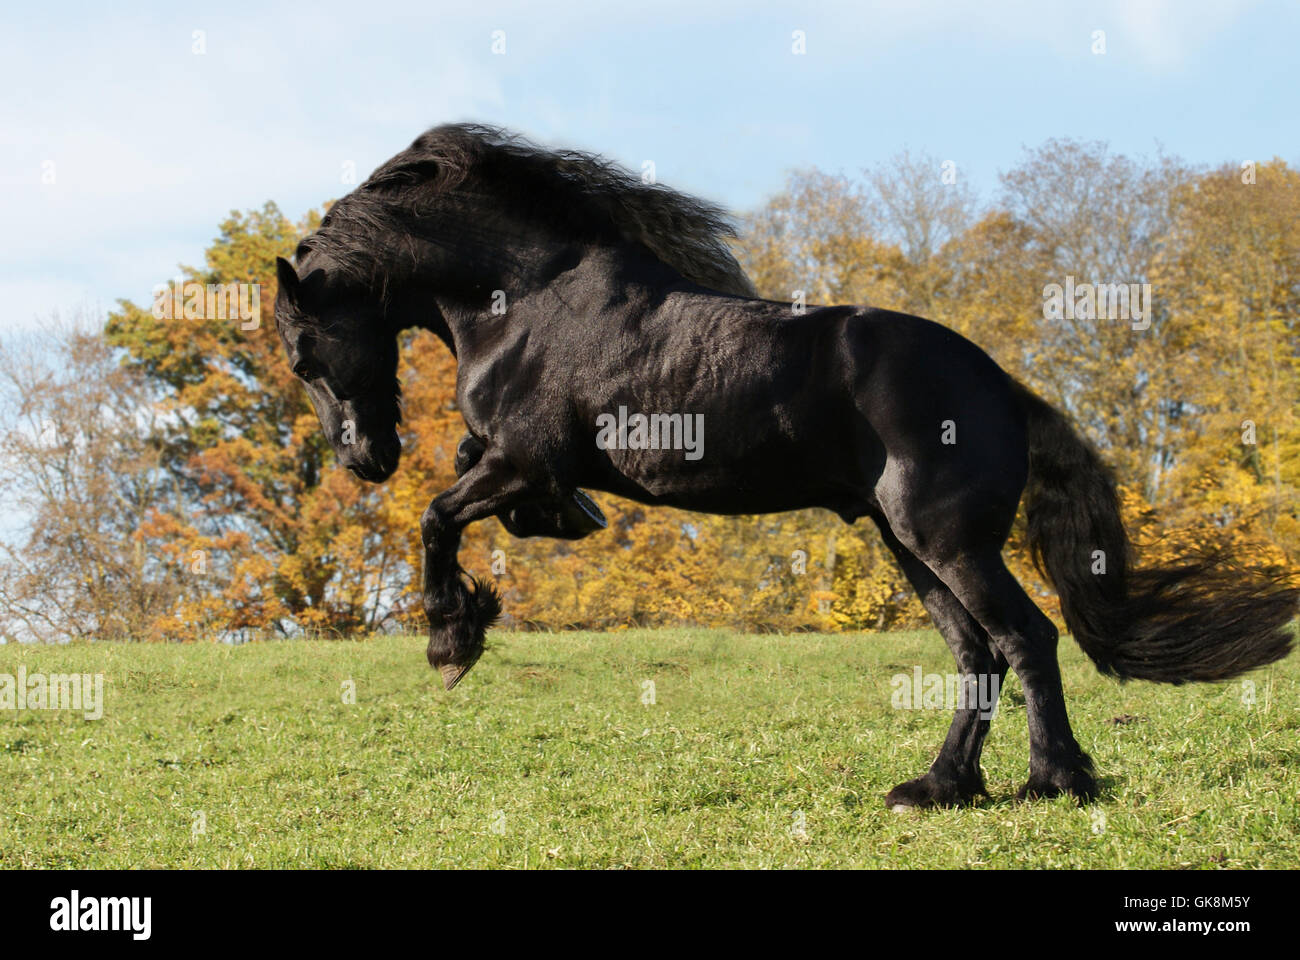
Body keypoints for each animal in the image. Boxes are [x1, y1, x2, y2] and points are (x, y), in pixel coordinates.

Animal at [274, 124, 1297, 808]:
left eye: (301, 353)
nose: (364, 458)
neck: (525, 301)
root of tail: (1001, 385)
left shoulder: (522, 460)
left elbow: (439, 516)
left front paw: (453, 641)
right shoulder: (516, 464)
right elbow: (480, 498)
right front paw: (516, 572)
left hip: (947, 541)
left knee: (1024, 639)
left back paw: (1056, 780)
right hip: (908, 548)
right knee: (975, 655)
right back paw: (935, 788)